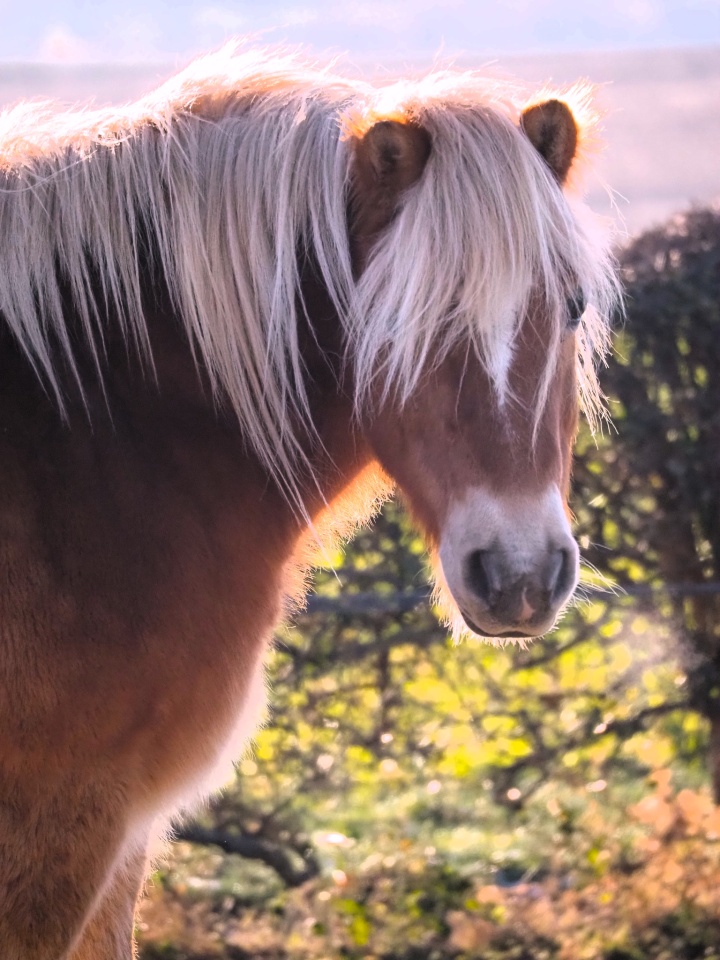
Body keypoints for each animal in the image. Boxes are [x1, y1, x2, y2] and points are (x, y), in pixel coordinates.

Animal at [0, 45, 618, 958]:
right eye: (400, 318)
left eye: (573, 307)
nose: (521, 576)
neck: (106, 426)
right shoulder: (64, 828)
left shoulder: (121, 840)